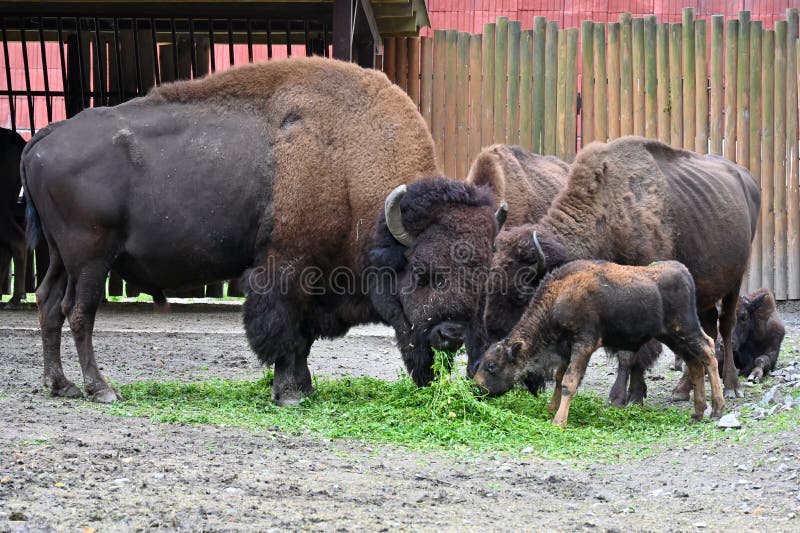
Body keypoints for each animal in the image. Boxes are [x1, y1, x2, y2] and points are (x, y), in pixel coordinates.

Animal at [22, 57, 505, 404]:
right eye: (422, 271)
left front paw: (305, 388)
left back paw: (59, 385)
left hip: (61, 256)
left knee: (47, 303)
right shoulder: (287, 268)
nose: (451, 334)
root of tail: (44, 136)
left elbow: (304, 338)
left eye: (482, 277)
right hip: (91, 258)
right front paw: (290, 393)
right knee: (78, 311)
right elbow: (285, 332)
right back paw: (101, 389)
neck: (350, 168)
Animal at [475, 136, 760, 400]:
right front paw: (629, 393)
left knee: (725, 326)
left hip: (735, 280)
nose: (499, 343)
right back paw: (681, 390)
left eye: (523, 294)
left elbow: (632, 352)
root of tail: (748, 179)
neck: (608, 214)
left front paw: (624, 396)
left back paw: (731, 387)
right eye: (489, 288)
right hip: (703, 293)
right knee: (707, 330)